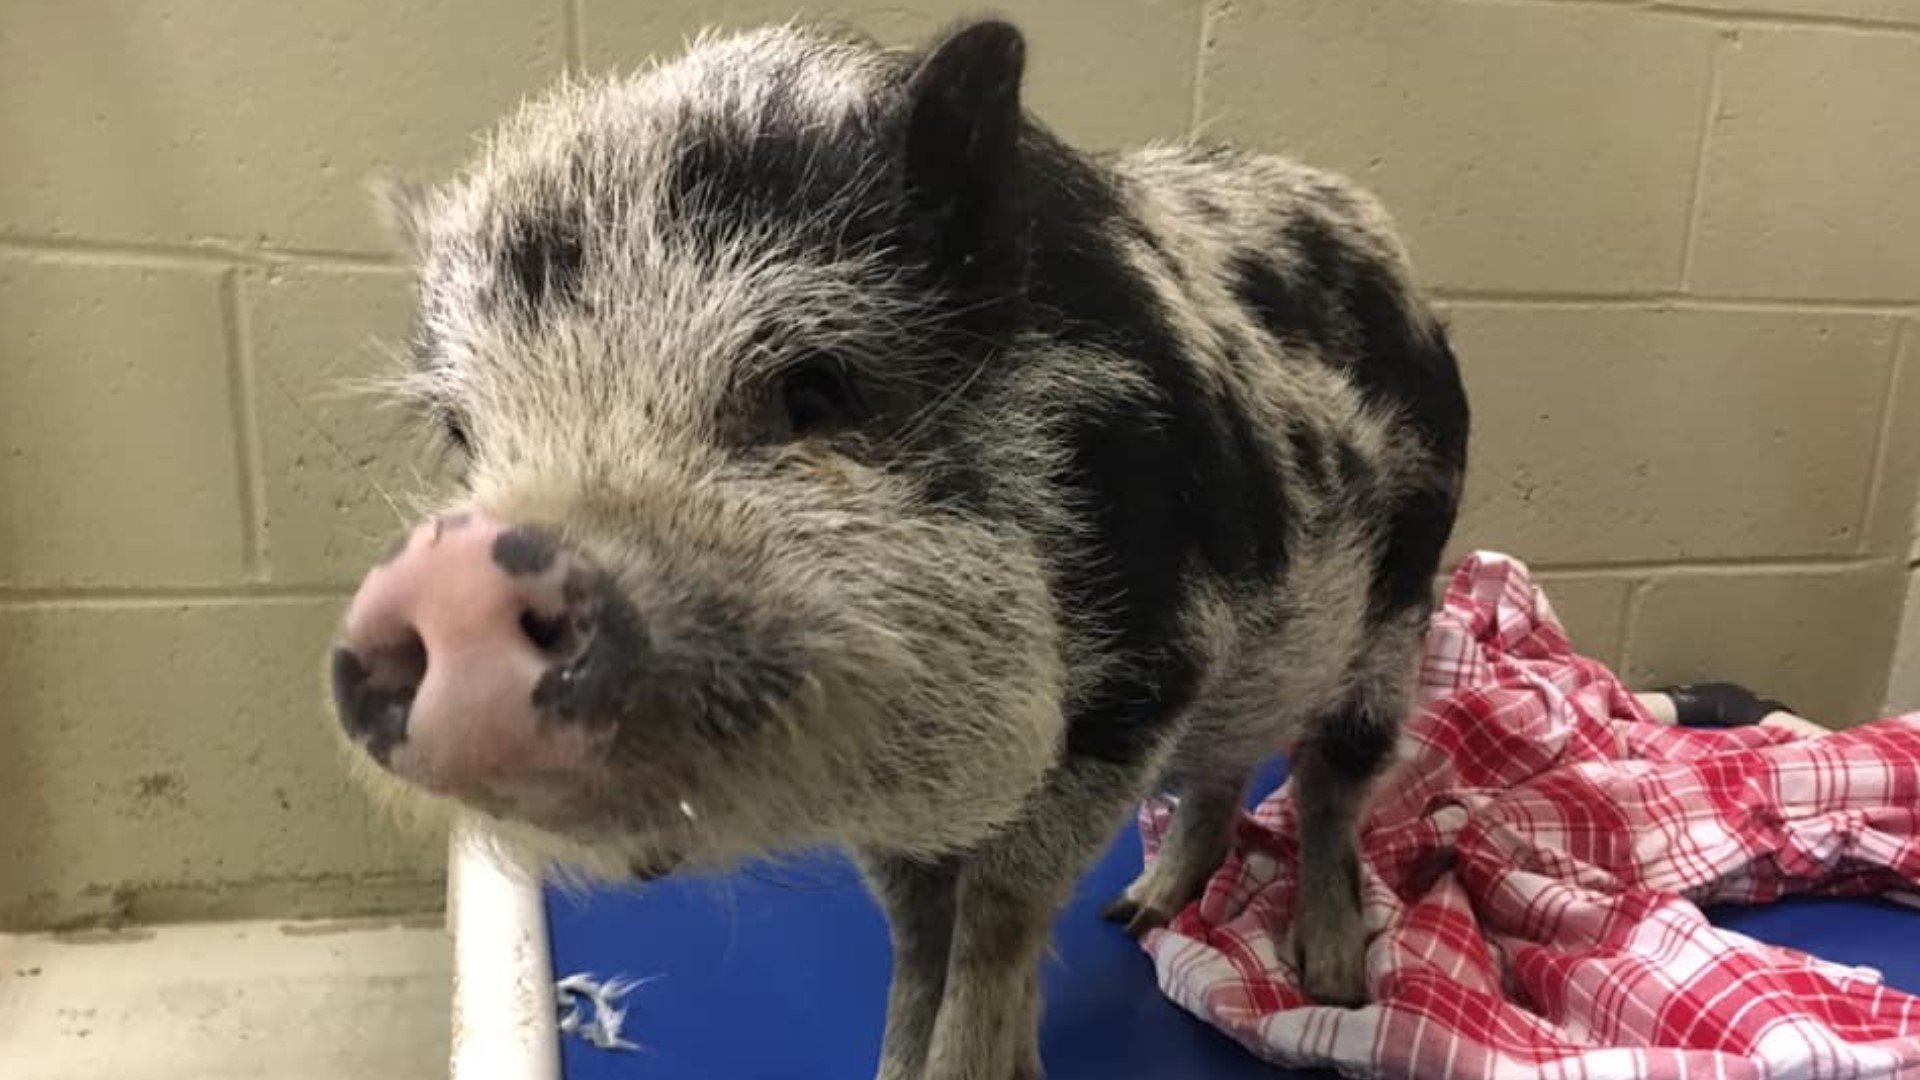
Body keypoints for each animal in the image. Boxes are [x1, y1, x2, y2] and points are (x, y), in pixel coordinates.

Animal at [326, 16, 1469, 1080]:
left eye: (813, 389)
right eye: (463, 434)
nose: (449, 575)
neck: (946, 761)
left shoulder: (1141, 687)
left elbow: (999, 920)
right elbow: (917, 932)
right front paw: (896, 1060)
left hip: (1401, 608)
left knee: (1331, 785)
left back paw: (1332, 980)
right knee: (1226, 769)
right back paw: (1141, 913)